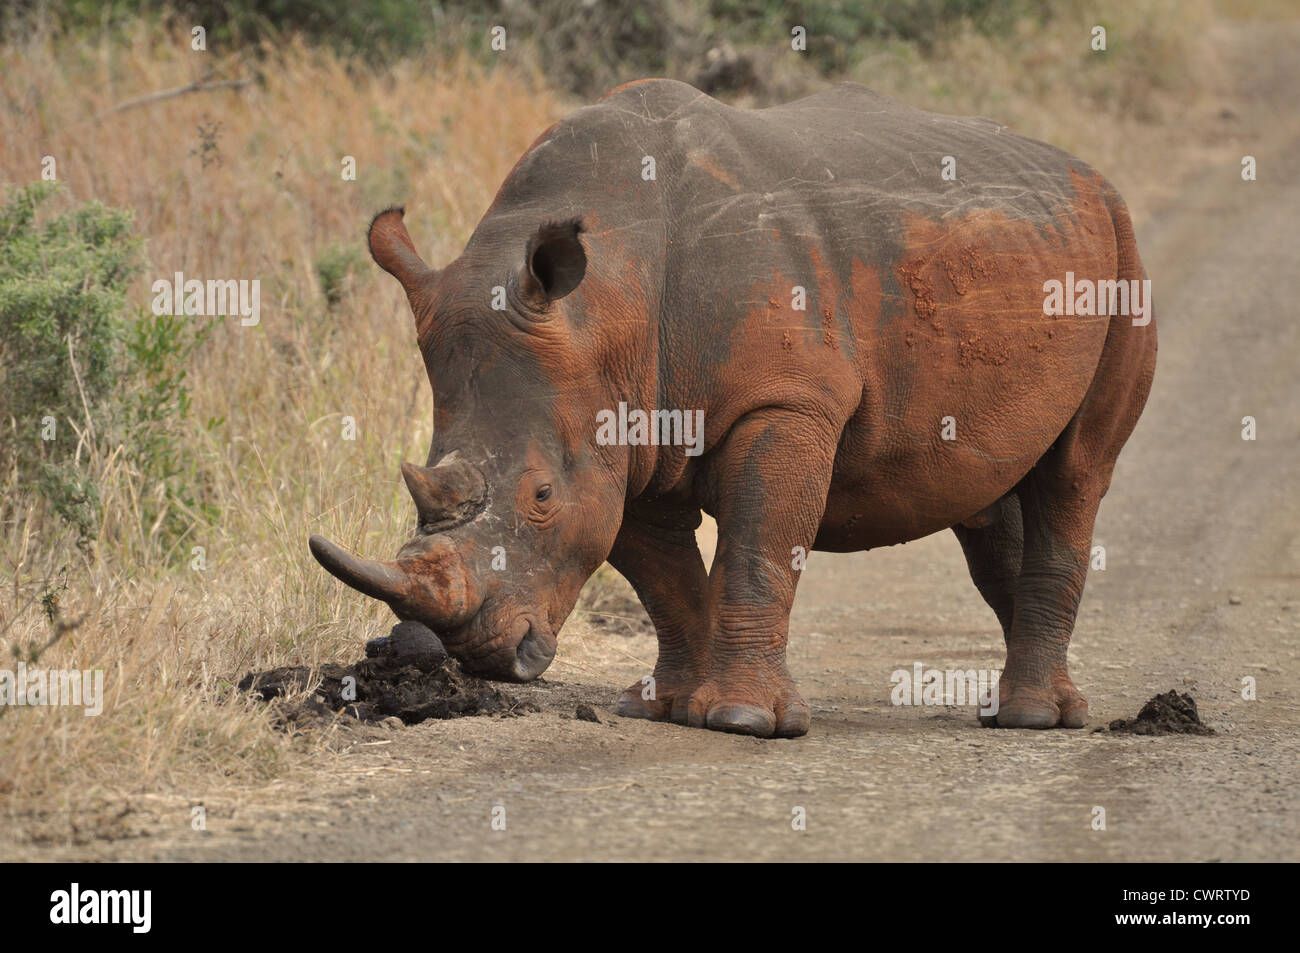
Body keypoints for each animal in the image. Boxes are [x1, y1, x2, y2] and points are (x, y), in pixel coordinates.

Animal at [310, 79, 1156, 737]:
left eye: (542, 495)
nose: (484, 654)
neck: (608, 304)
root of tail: (1084, 172)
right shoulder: (625, 433)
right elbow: (664, 576)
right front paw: (667, 707)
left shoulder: (785, 402)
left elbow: (757, 546)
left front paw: (744, 721)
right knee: (989, 495)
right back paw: (1029, 707)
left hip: (1121, 252)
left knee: (1077, 472)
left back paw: (1034, 719)